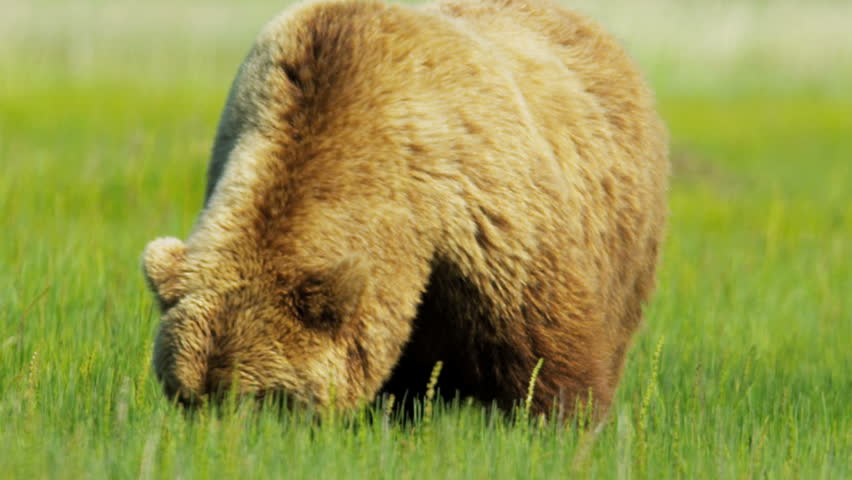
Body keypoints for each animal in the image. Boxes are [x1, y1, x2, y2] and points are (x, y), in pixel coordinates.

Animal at [142, 0, 669, 418]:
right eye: (184, 395)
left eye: (256, 397)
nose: (213, 429)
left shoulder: (480, 208)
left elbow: (540, 338)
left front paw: (557, 421)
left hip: (622, 230)